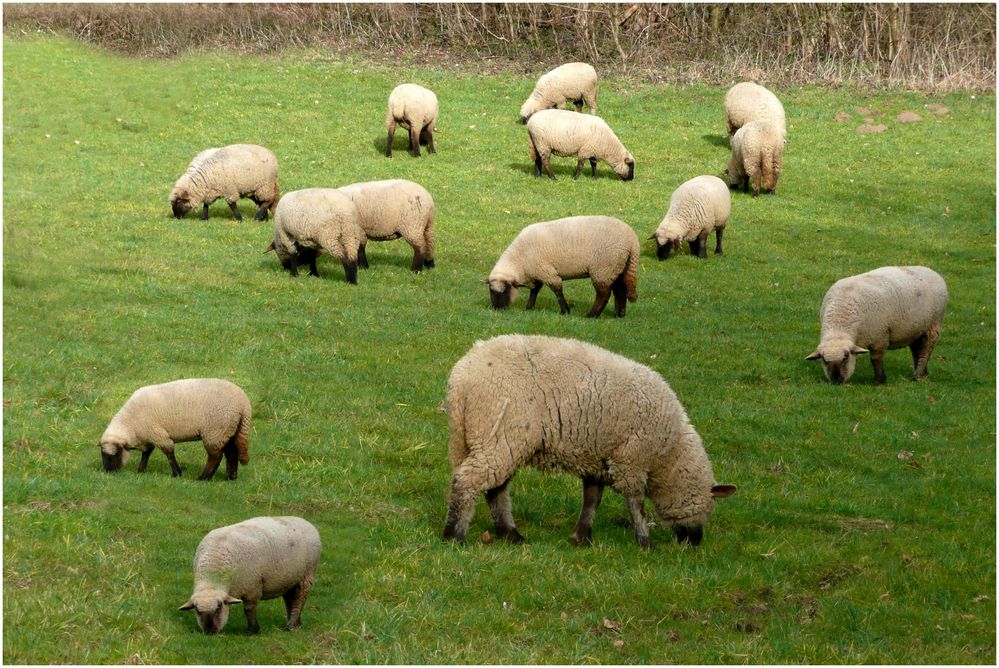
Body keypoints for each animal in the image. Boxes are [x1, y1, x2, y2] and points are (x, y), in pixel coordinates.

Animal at [100, 379, 250, 480]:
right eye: (102, 455)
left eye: (115, 454)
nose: (108, 472)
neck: (130, 424)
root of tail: (244, 403)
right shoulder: (148, 435)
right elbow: (147, 453)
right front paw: (141, 470)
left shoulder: (157, 434)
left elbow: (169, 452)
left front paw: (177, 473)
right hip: (229, 429)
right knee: (231, 453)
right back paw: (230, 477)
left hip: (215, 430)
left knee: (215, 456)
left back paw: (203, 478)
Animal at [179, 516, 321, 634]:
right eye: (197, 611)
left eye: (219, 608)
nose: (209, 632)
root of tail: (306, 522)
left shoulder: (253, 586)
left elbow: (249, 609)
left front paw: (253, 630)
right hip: (290, 579)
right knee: (290, 599)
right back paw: (297, 623)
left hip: (306, 576)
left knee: (299, 600)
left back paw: (291, 626)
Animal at [442, 335, 736, 549]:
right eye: (708, 508)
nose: (695, 542)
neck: (669, 454)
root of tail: (461, 377)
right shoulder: (631, 459)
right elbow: (636, 504)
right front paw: (645, 542)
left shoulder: (598, 456)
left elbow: (592, 499)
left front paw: (581, 537)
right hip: (501, 435)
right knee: (468, 481)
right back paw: (454, 536)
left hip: (490, 439)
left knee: (495, 488)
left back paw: (510, 534)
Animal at [487, 215, 639, 318]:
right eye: (490, 291)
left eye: (505, 291)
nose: (496, 309)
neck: (519, 260)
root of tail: (633, 240)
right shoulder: (538, 272)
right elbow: (535, 290)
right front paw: (529, 307)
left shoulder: (546, 272)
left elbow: (557, 290)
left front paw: (565, 311)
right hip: (617, 267)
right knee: (620, 290)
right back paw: (619, 315)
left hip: (603, 268)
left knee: (604, 293)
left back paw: (591, 315)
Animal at [806, 266, 948, 384]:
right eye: (824, 360)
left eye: (846, 357)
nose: (836, 381)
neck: (840, 322)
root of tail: (933, 272)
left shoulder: (880, 337)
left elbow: (876, 359)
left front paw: (879, 380)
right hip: (916, 329)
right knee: (917, 349)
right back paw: (923, 373)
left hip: (933, 325)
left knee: (926, 350)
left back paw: (917, 376)